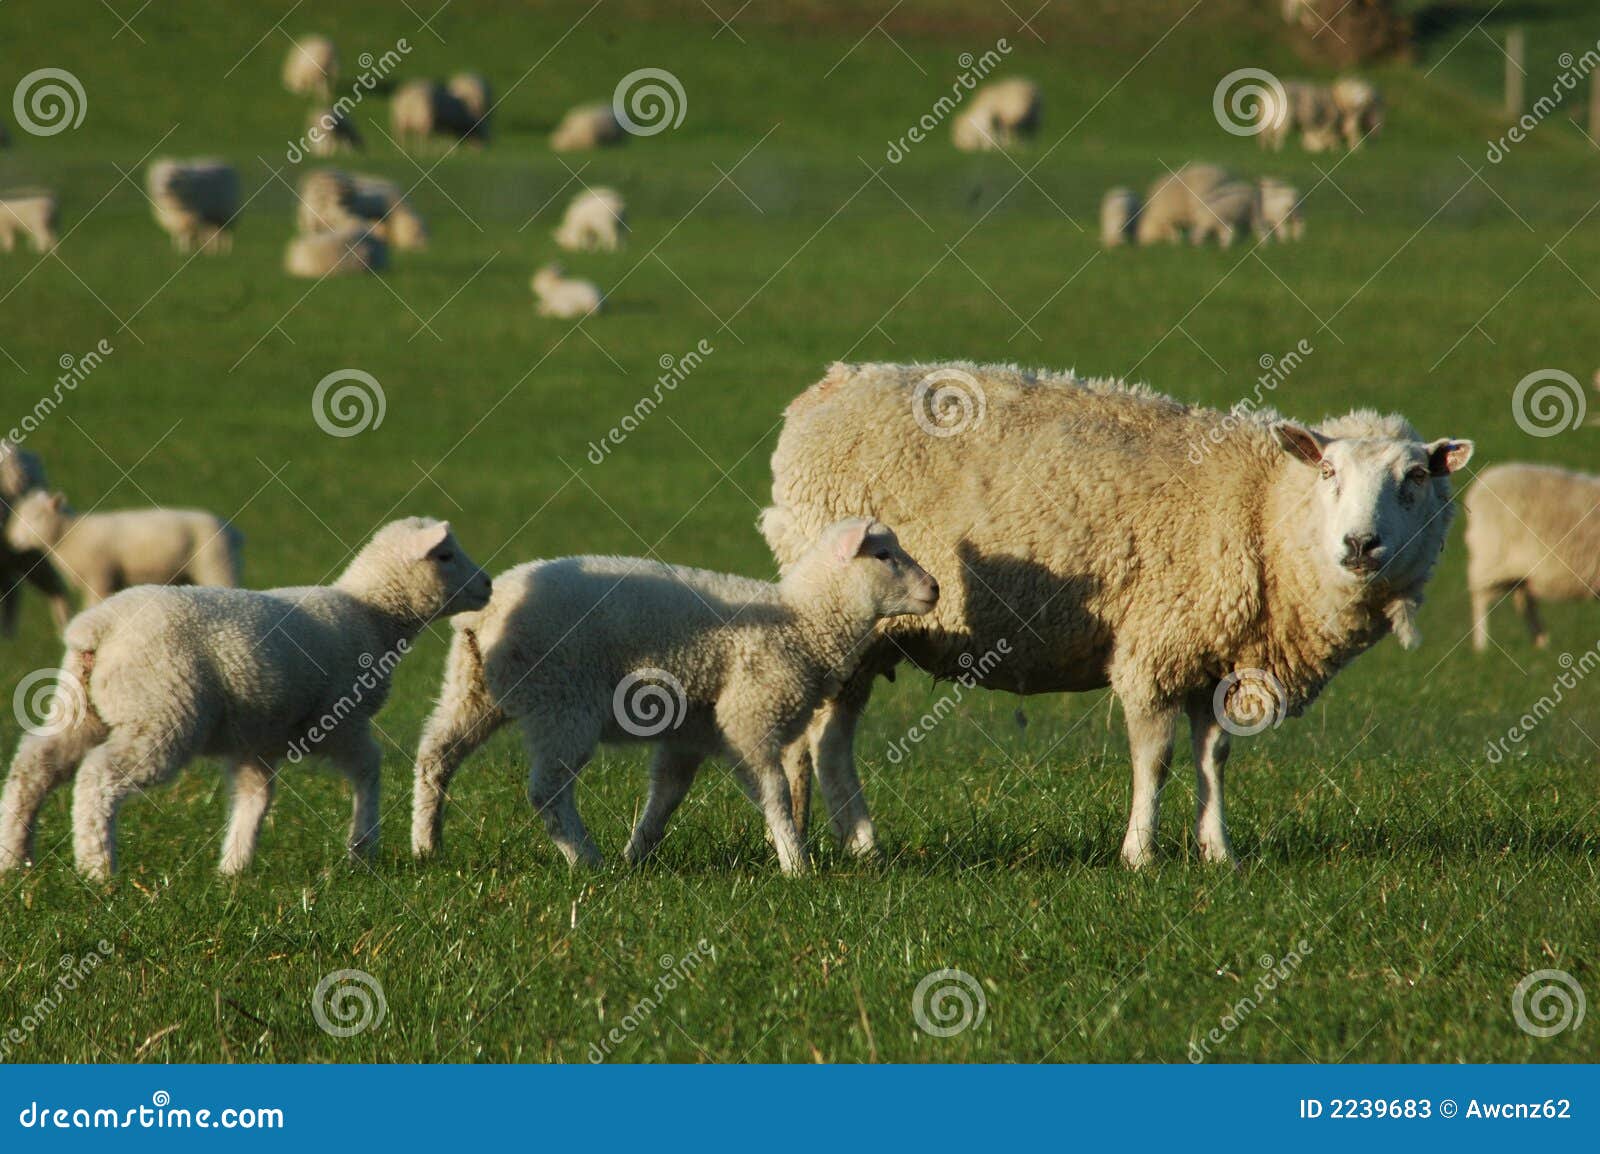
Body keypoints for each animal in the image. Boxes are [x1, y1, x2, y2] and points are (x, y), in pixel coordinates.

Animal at [0, 518, 490, 879]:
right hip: (162, 712)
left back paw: (16, 858)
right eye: (445, 555)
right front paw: (362, 847)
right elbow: (369, 768)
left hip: (81, 706)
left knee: (33, 767)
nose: (486, 585)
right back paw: (98, 868)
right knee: (97, 778)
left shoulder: (259, 740)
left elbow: (256, 796)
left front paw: (233, 867)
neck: (372, 615)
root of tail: (98, 627)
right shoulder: (341, 721)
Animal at [5, 491, 242, 608]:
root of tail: (234, 531)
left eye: (37, 517)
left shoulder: (99, 578)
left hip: (218, 566)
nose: (13, 541)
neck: (68, 533)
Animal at [411, 518, 938, 875]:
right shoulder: (749, 714)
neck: (804, 621)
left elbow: (666, 795)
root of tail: (481, 616)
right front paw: (796, 863)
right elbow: (776, 793)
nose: (934, 588)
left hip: (473, 690)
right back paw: (587, 860)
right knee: (547, 790)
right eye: (883, 554)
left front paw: (637, 854)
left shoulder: (693, 733)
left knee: (435, 756)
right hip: (562, 701)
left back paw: (425, 845)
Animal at [760, 361, 1473, 868]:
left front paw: (1218, 853)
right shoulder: (1158, 644)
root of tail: (824, 392)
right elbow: (1155, 758)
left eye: (1415, 477)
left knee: (821, 741)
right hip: (849, 623)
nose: (1361, 545)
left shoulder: (1219, 658)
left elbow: (1213, 757)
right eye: (1328, 471)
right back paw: (861, 846)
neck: (1264, 510)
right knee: (827, 744)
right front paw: (1140, 856)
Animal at [1464, 463, 1600, 651]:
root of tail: (1482, 484)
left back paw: (1541, 642)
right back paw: (1481, 647)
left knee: (1525, 603)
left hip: (1520, 573)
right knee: (1480, 600)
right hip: (1490, 562)